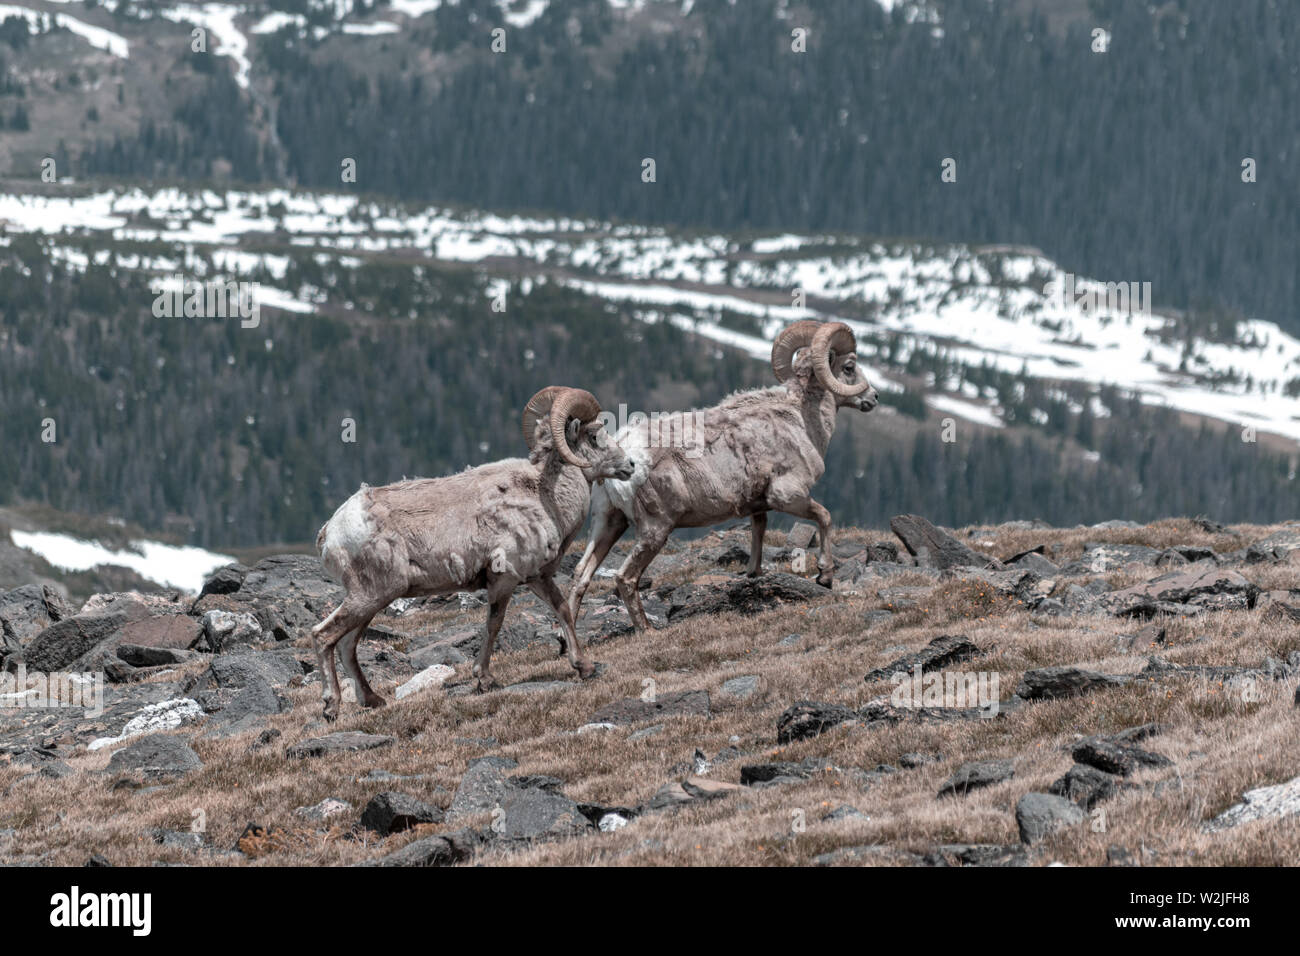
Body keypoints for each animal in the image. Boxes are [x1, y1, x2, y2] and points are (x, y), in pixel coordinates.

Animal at [310, 386, 634, 719]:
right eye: (594, 436)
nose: (630, 465)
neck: (544, 495)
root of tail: (330, 532)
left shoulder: (537, 578)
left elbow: (563, 611)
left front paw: (585, 667)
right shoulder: (503, 580)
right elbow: (493, 625)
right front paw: (485, 679)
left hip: (374, 600)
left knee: (347, 644)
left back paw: (374, 700)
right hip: (369, 596)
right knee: (323, 635)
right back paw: (331, 706)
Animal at [566, 320, 879, 632]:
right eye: (849, 367)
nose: (874, 397)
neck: (802, 419)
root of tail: (626, 455)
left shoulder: (758, 505)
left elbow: (759, 531)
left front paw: (753, 573)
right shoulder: (788, 495)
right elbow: (824, 516)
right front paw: (824, 577)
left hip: (610, 522)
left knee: (581, 574)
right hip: (655, 529)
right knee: (625, 578)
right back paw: (647, 630)